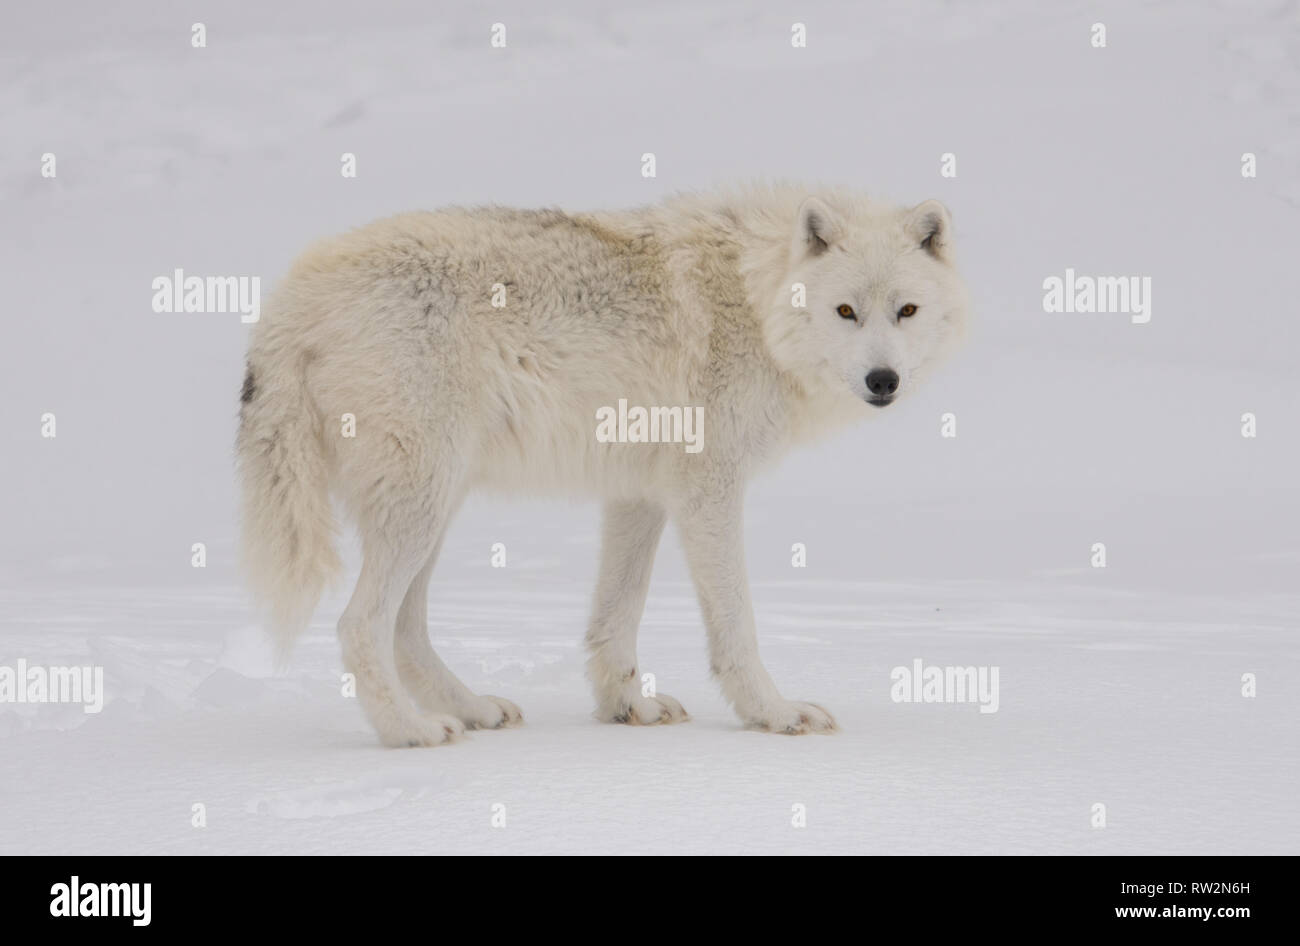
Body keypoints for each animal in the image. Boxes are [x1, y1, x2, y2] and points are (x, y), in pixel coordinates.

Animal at [237, 184, 970, 747]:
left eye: (906, 310)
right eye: (845, 311)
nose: (883, 380)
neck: (754, 301)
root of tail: (289, 301)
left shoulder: (638, 494)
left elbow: (617, 617)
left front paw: (628, 710)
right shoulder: (708, 490)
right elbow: (736, 625)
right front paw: (775, 714)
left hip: (433, 507)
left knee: (405, 629)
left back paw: (473, 710)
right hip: (421, 504)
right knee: (360, 625)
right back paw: (410, 732)